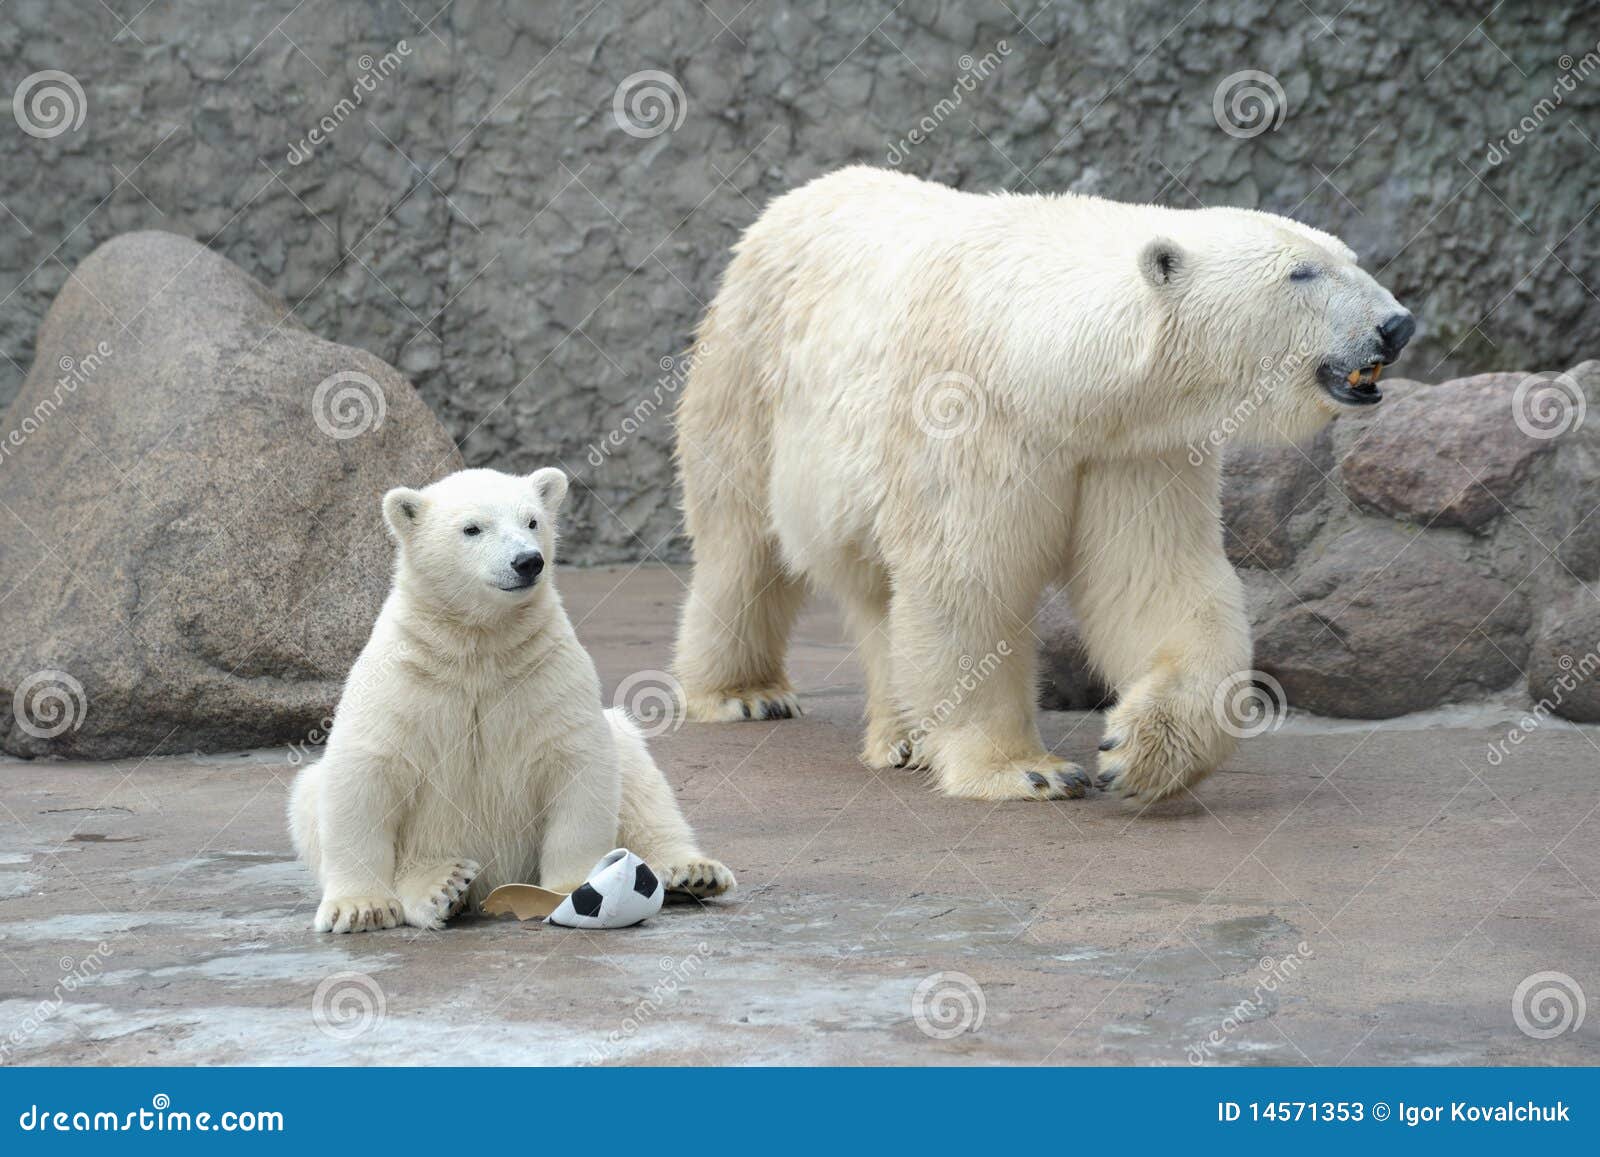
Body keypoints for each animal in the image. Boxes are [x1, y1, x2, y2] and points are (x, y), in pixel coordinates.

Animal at [289, 466, 733, 933]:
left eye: (532, 521)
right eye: (472, 528)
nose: (527, 561)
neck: (477, 644)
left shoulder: (544, 669)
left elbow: (577, 763)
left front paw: (572, 888)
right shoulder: (403, 677)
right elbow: (364, 774)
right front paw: (361, 908)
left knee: (639, 777)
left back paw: (692, 873)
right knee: (309, 795)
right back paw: (442, 885)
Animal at [672, 165, 1413, 805]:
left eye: (1348, 255)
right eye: (1301, 271)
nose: (1397, 324)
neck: (1050, 366)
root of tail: (788, 203)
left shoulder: (1134, 448)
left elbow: (1156, 581)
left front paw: (1138, 750)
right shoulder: (974, 419)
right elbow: (967, 581)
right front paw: (1026, 771)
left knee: (875, 592)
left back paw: (901, 735)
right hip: (747, 376)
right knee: (740, 542)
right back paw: (745, 694)